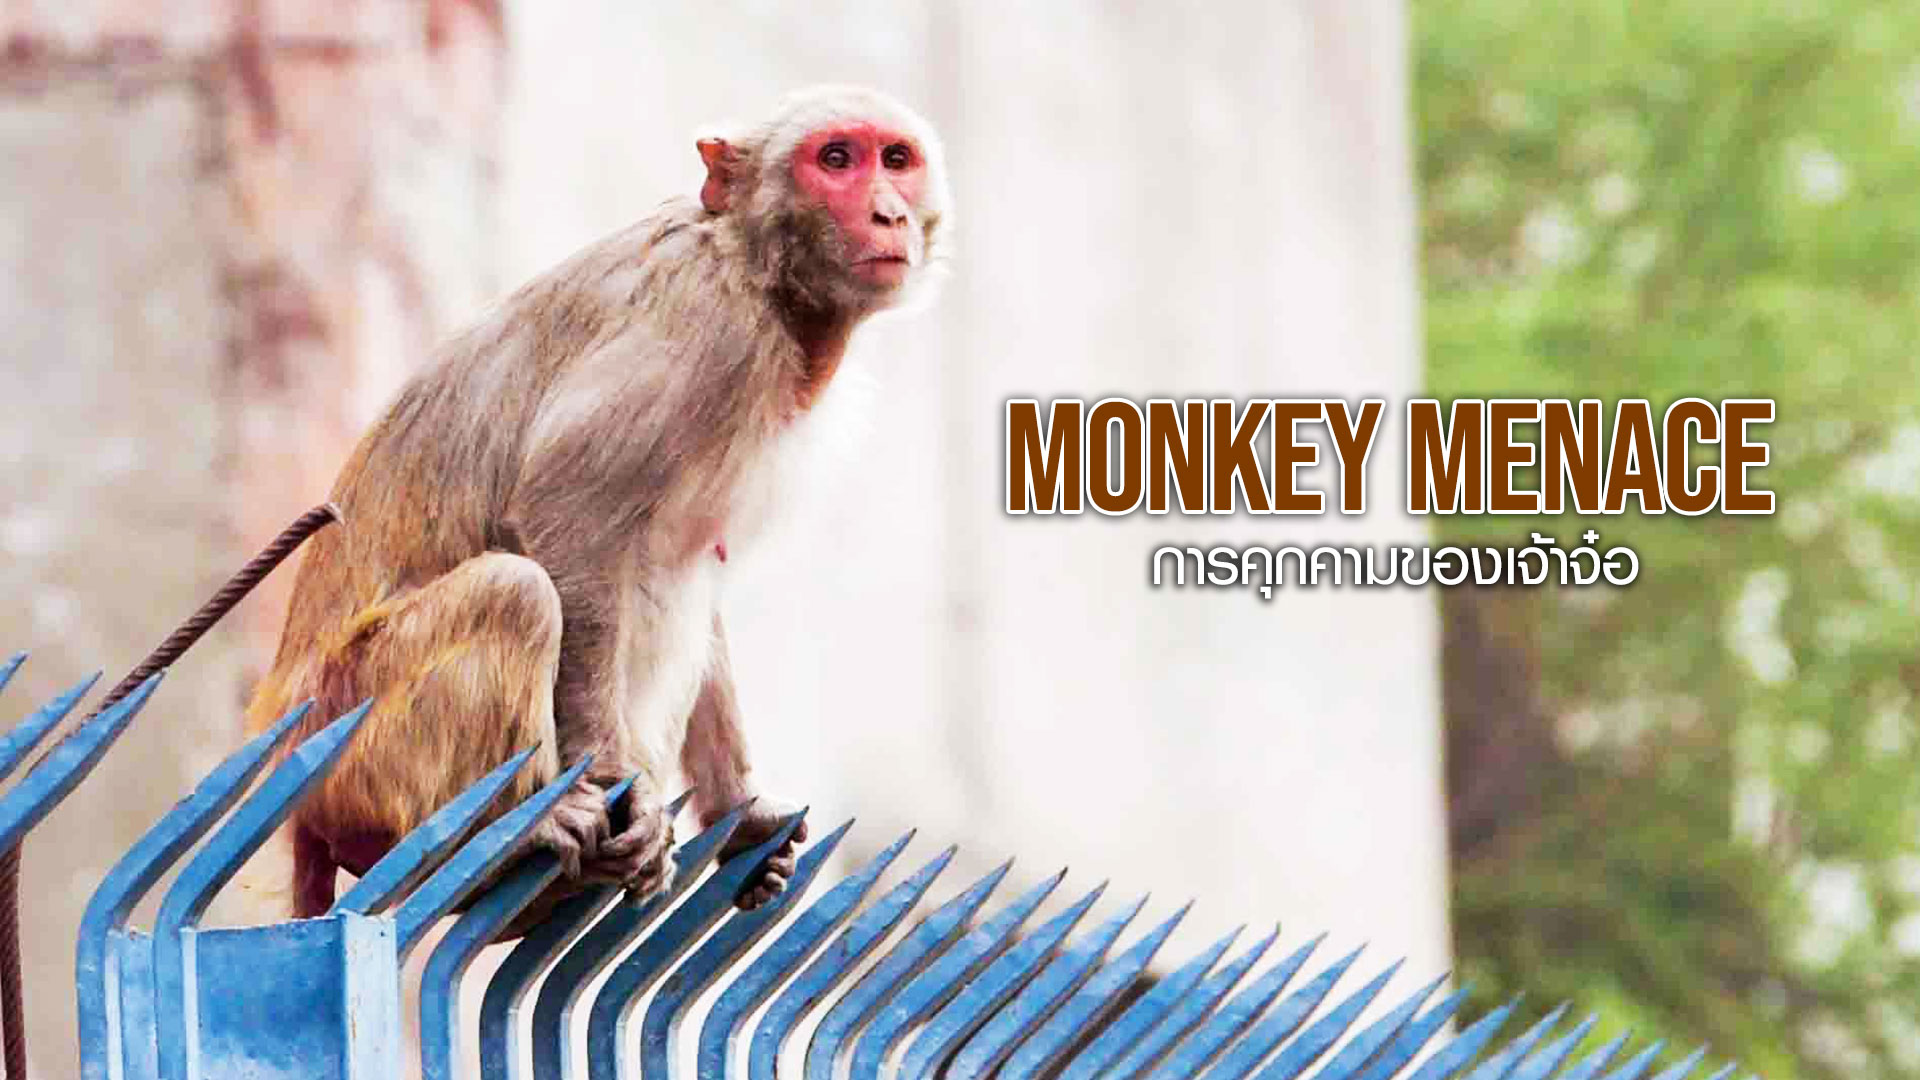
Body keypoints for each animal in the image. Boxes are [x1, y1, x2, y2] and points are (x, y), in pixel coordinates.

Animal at [241, 84, 951, 922]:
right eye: (836, 159)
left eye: (895, 160)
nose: (888, 212)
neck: (757, 268)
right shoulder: (701, 334)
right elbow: (568, 516)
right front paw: (617, 785)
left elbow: (702, 561)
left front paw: (742, 811)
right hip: (351, 742)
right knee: (516, 592)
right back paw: (512, 832)